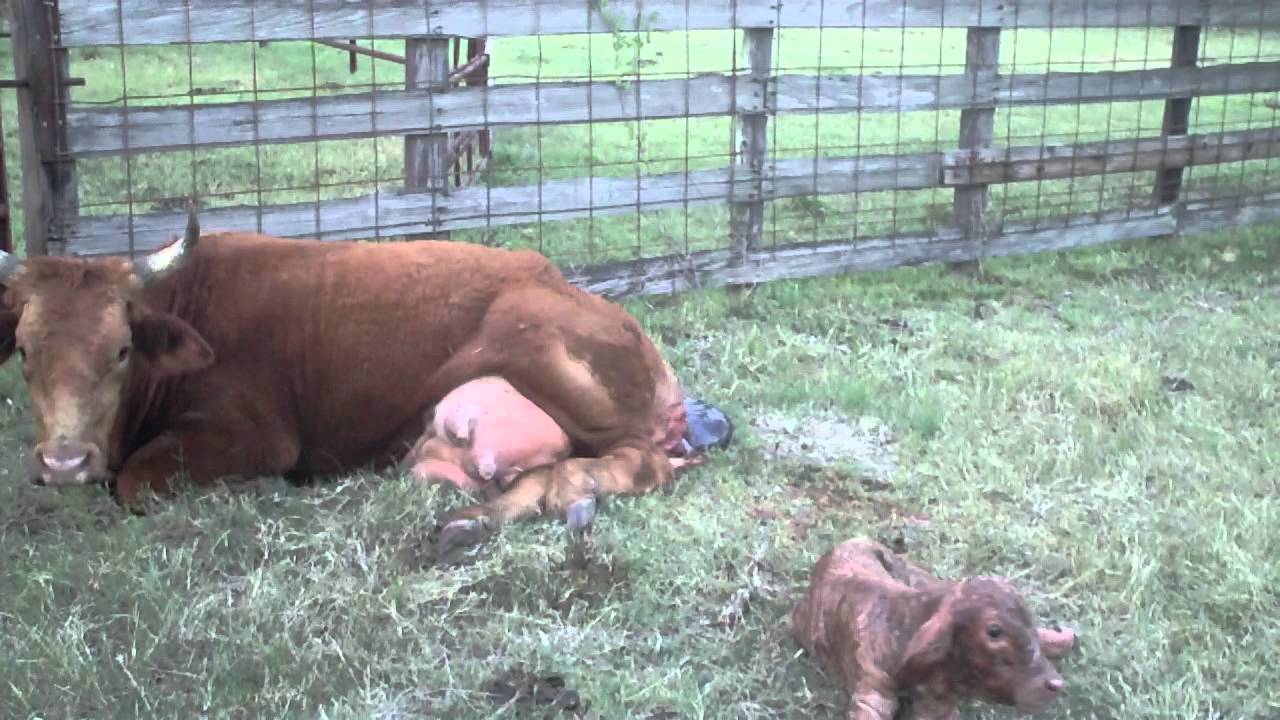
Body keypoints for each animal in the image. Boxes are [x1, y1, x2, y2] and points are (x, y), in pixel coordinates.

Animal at [0, 204, 723, 550]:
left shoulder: (252, 435)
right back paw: (476, 521)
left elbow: (135, 481)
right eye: (26, 351)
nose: (64, 461)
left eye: (122, 350)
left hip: (539, 352)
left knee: (637, 463)